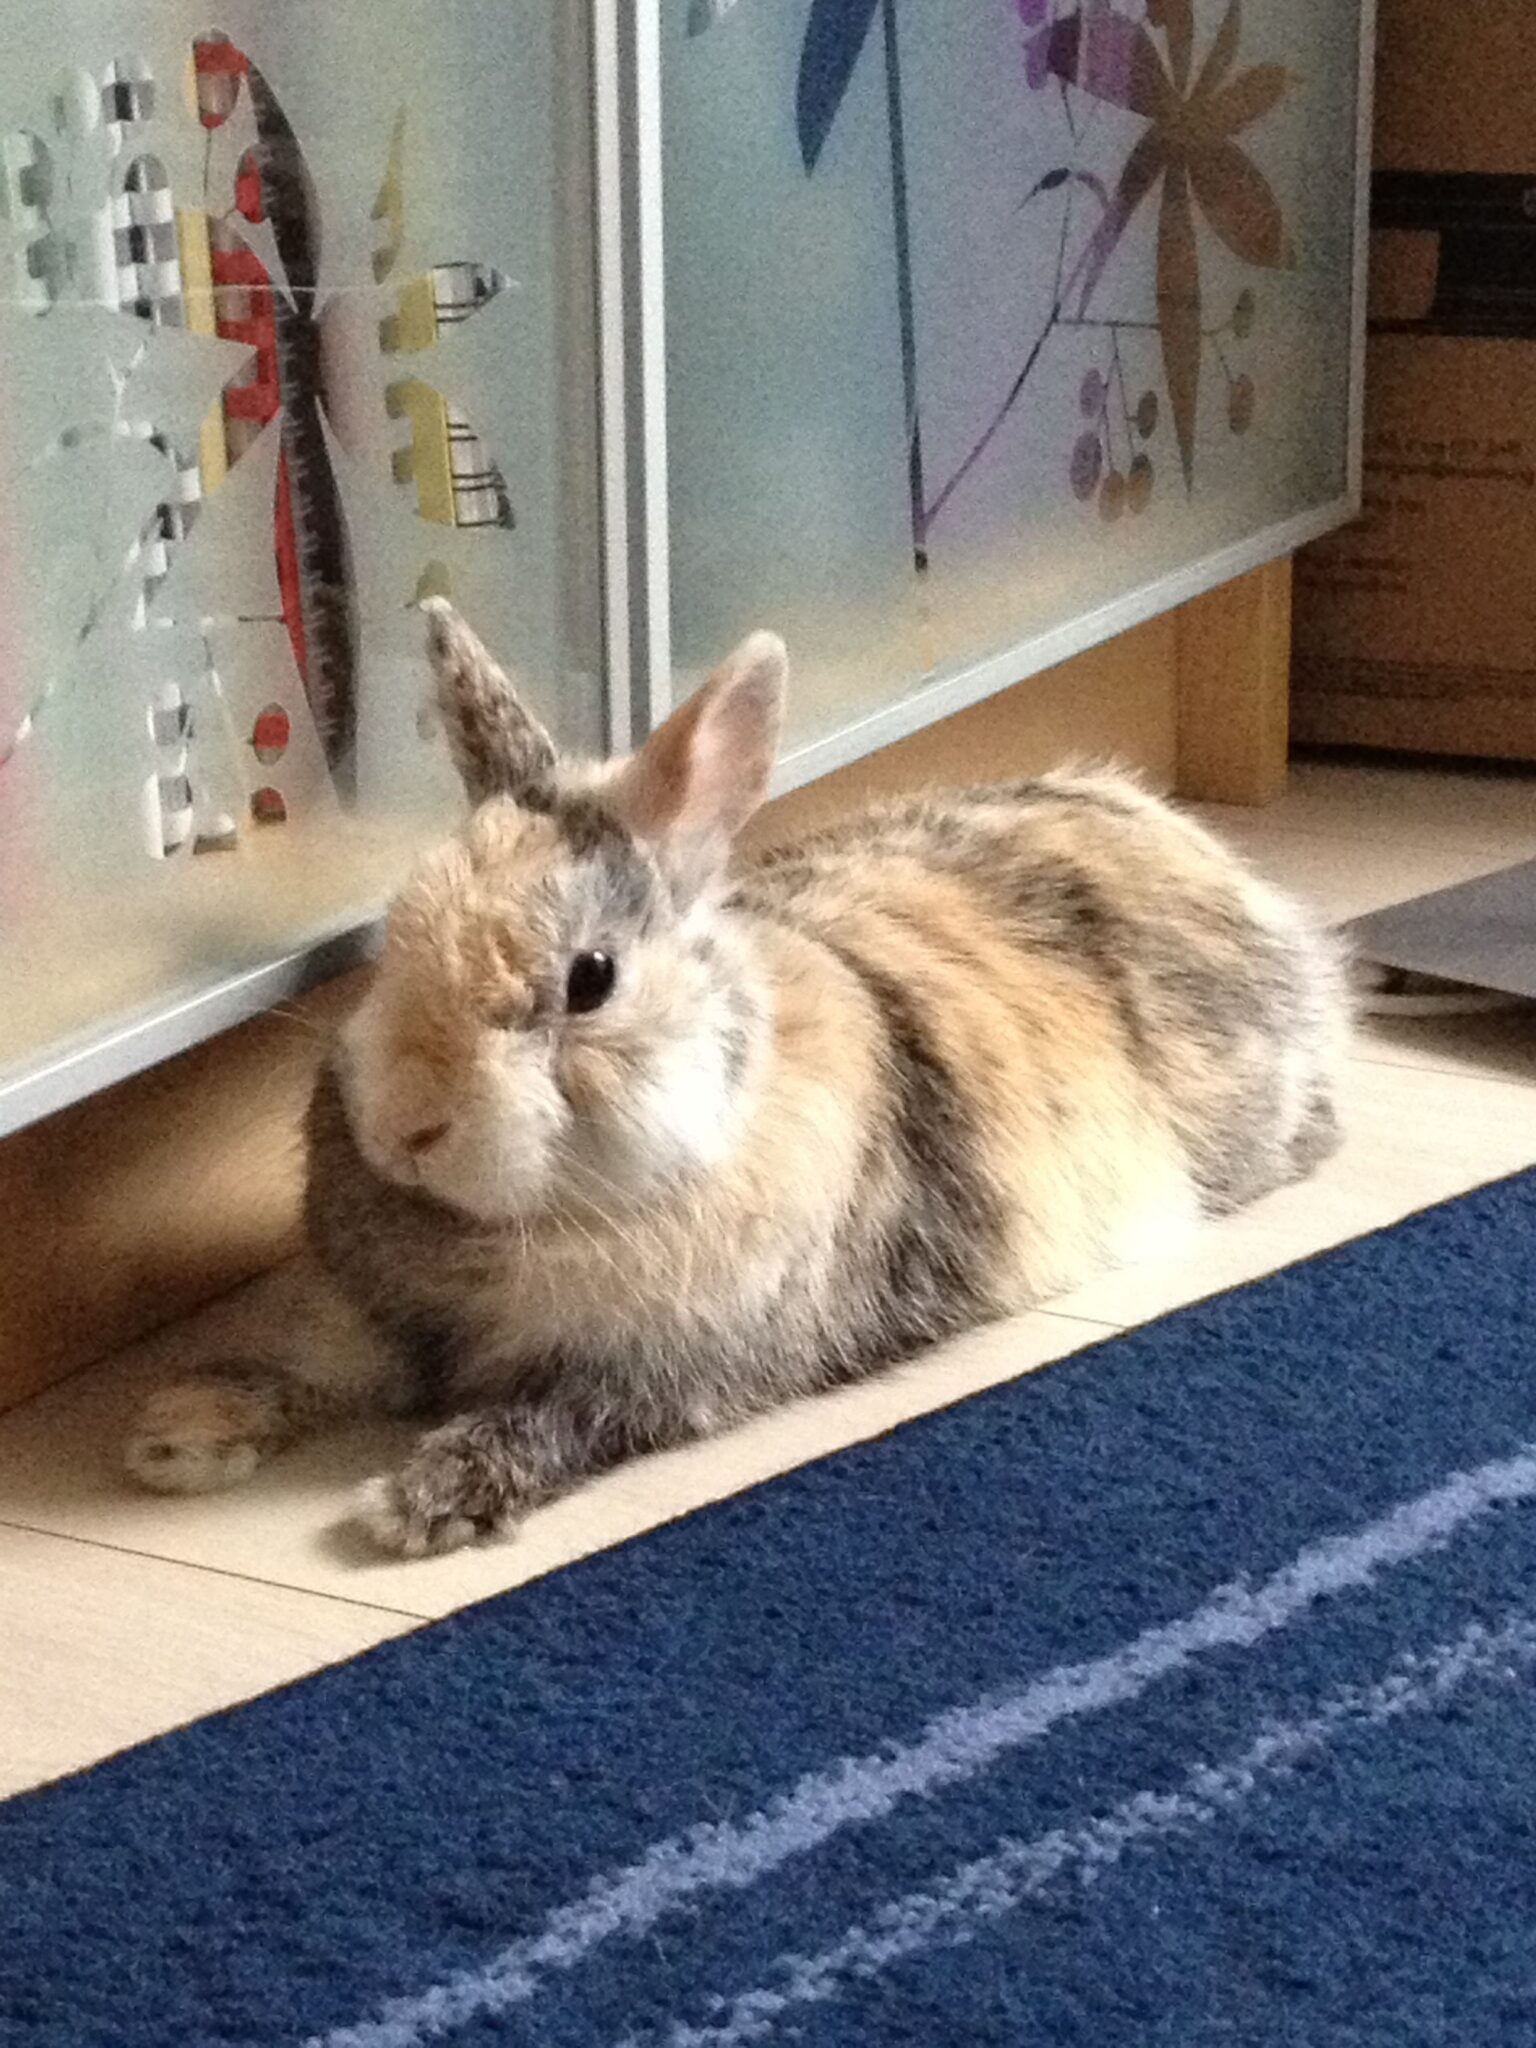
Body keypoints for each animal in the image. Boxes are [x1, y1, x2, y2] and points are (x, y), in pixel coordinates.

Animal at [124, 600, 1346, 1556]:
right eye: (391, 939)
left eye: (590, 979)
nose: (409, 1128)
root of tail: (1203, 856)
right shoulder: (389, 1328)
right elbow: (325, 1366)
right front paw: (179, 1427)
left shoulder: (683, 1366)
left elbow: (563, 1418)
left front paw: (421, 1500)